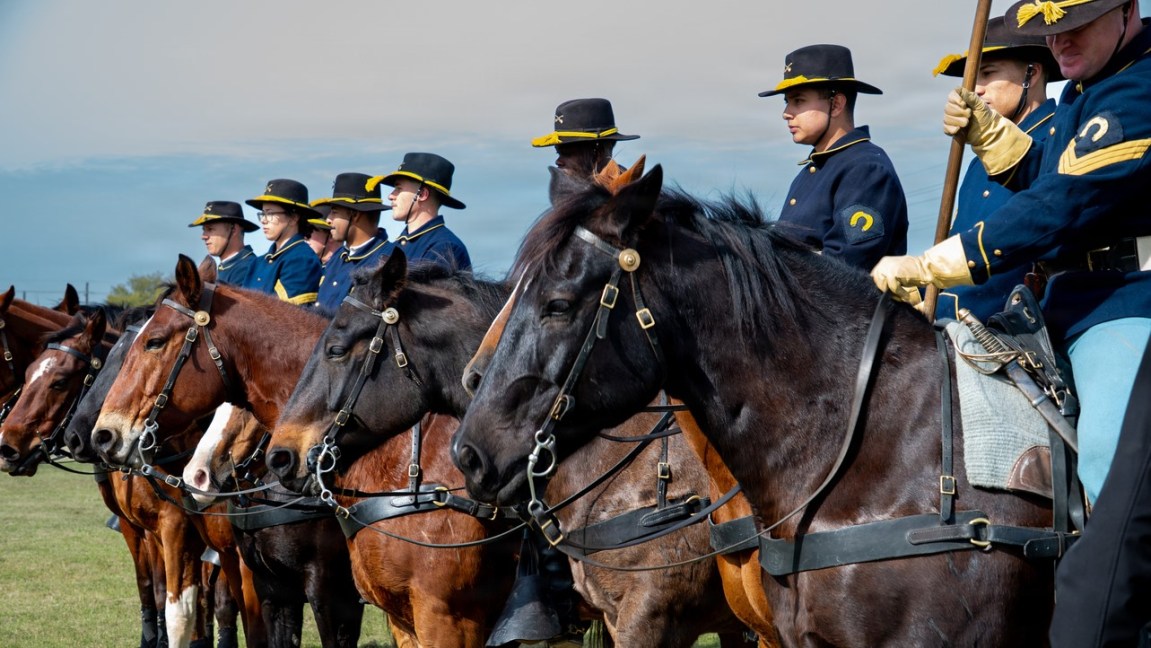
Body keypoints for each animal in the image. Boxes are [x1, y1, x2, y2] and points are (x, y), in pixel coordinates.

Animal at [0, 306, 254, 648]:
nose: (7, 446)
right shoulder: (141, 529)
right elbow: (153, 590)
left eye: (60, 381)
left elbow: (216, 603)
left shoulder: (185, 531)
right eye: (27, 376)